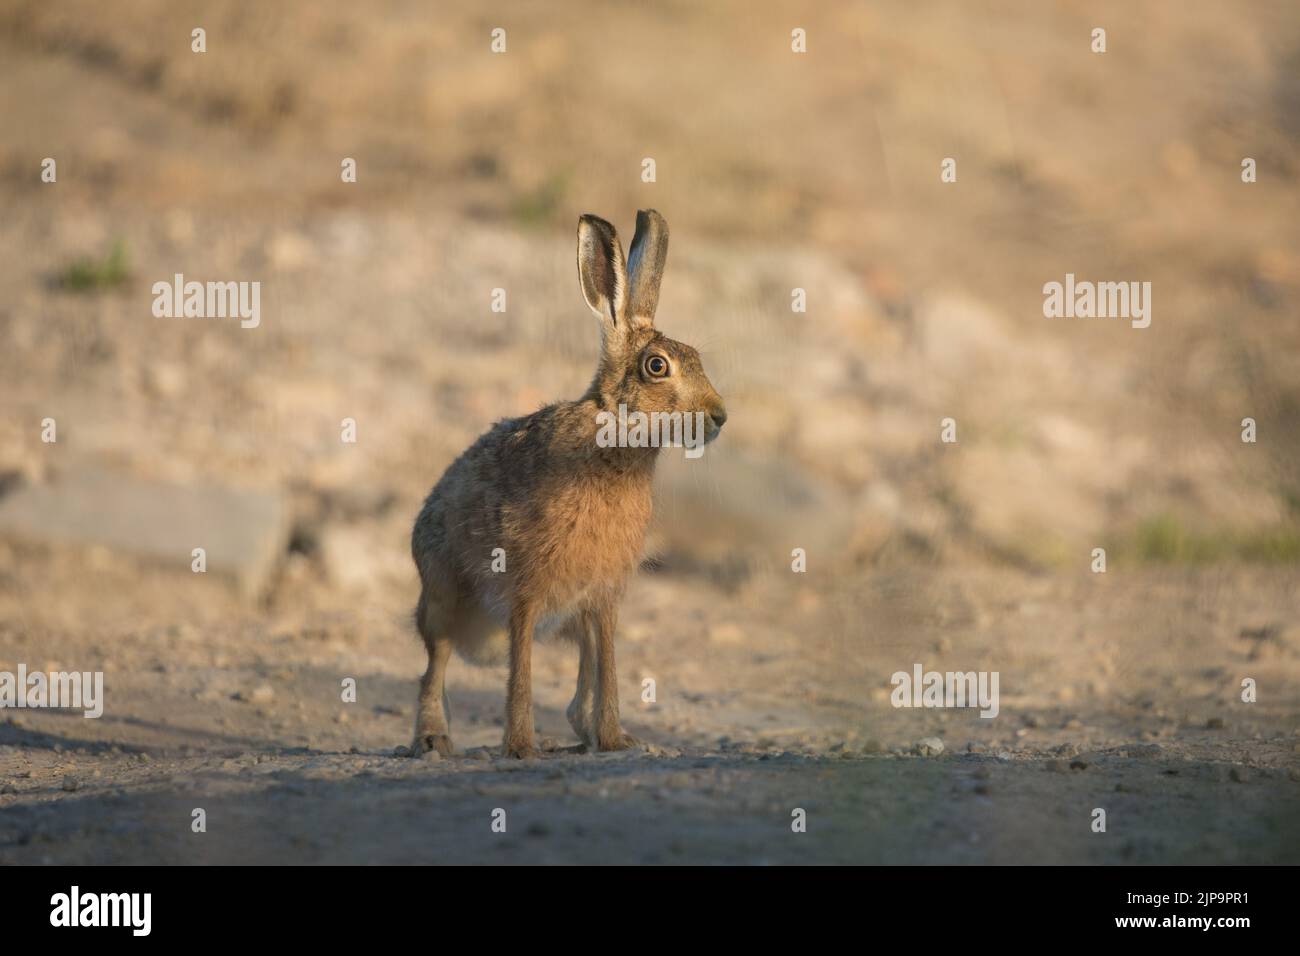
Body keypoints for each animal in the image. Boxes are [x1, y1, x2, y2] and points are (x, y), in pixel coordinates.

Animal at [408, 209, 727, 759]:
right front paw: (520, 747)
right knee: (437, 661)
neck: (614, 435)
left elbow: (610, 669)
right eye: (657, 366)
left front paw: (615, 741)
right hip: (444, 595)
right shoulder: (524, 591)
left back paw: (594, 737)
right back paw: (432, 739)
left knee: (583, 673)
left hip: (572, 614)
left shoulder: (603, 597)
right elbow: (521, 673)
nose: (718, 417)